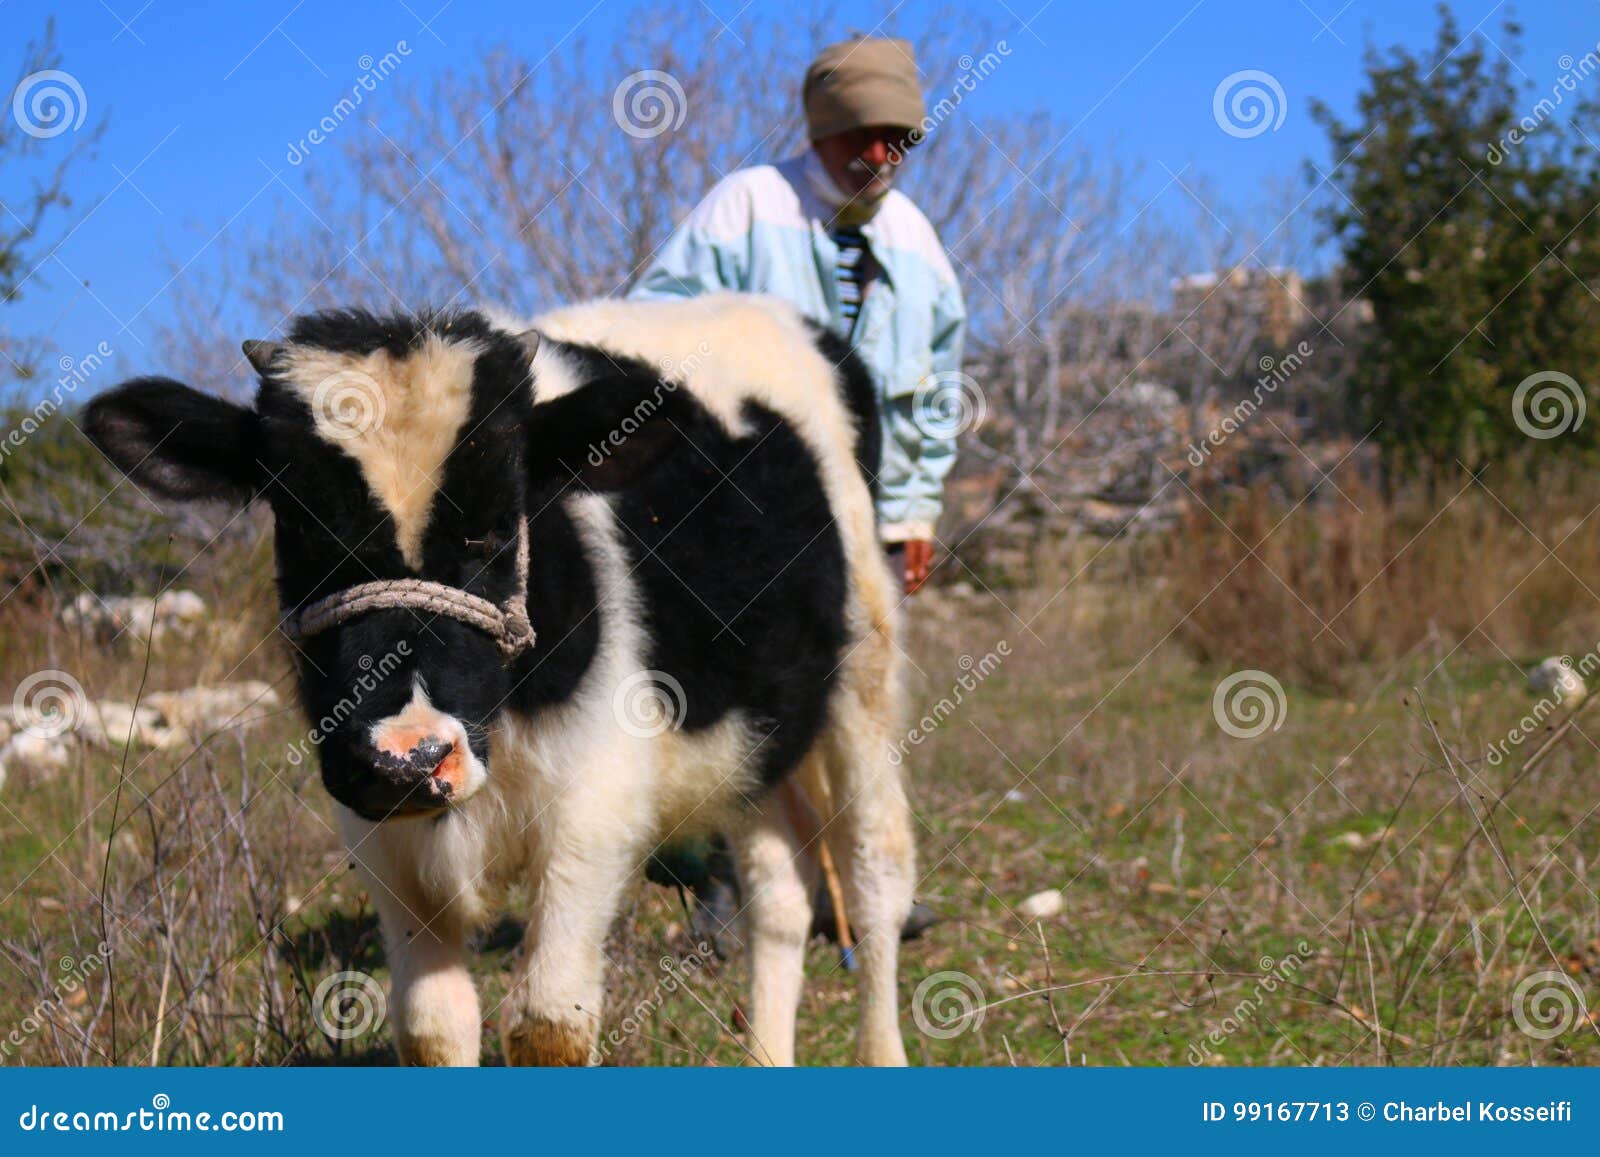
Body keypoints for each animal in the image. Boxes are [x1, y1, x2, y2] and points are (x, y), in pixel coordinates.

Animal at [84, 293, 914, 1066]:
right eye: (300, 522)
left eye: (493, 523)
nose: (409, 756)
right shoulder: (379, 834)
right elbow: (432, 1026)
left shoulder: (597, 804)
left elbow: (547, 1021)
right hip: (757, 739)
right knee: (780, 894)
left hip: (866, 680)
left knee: (876, 873)